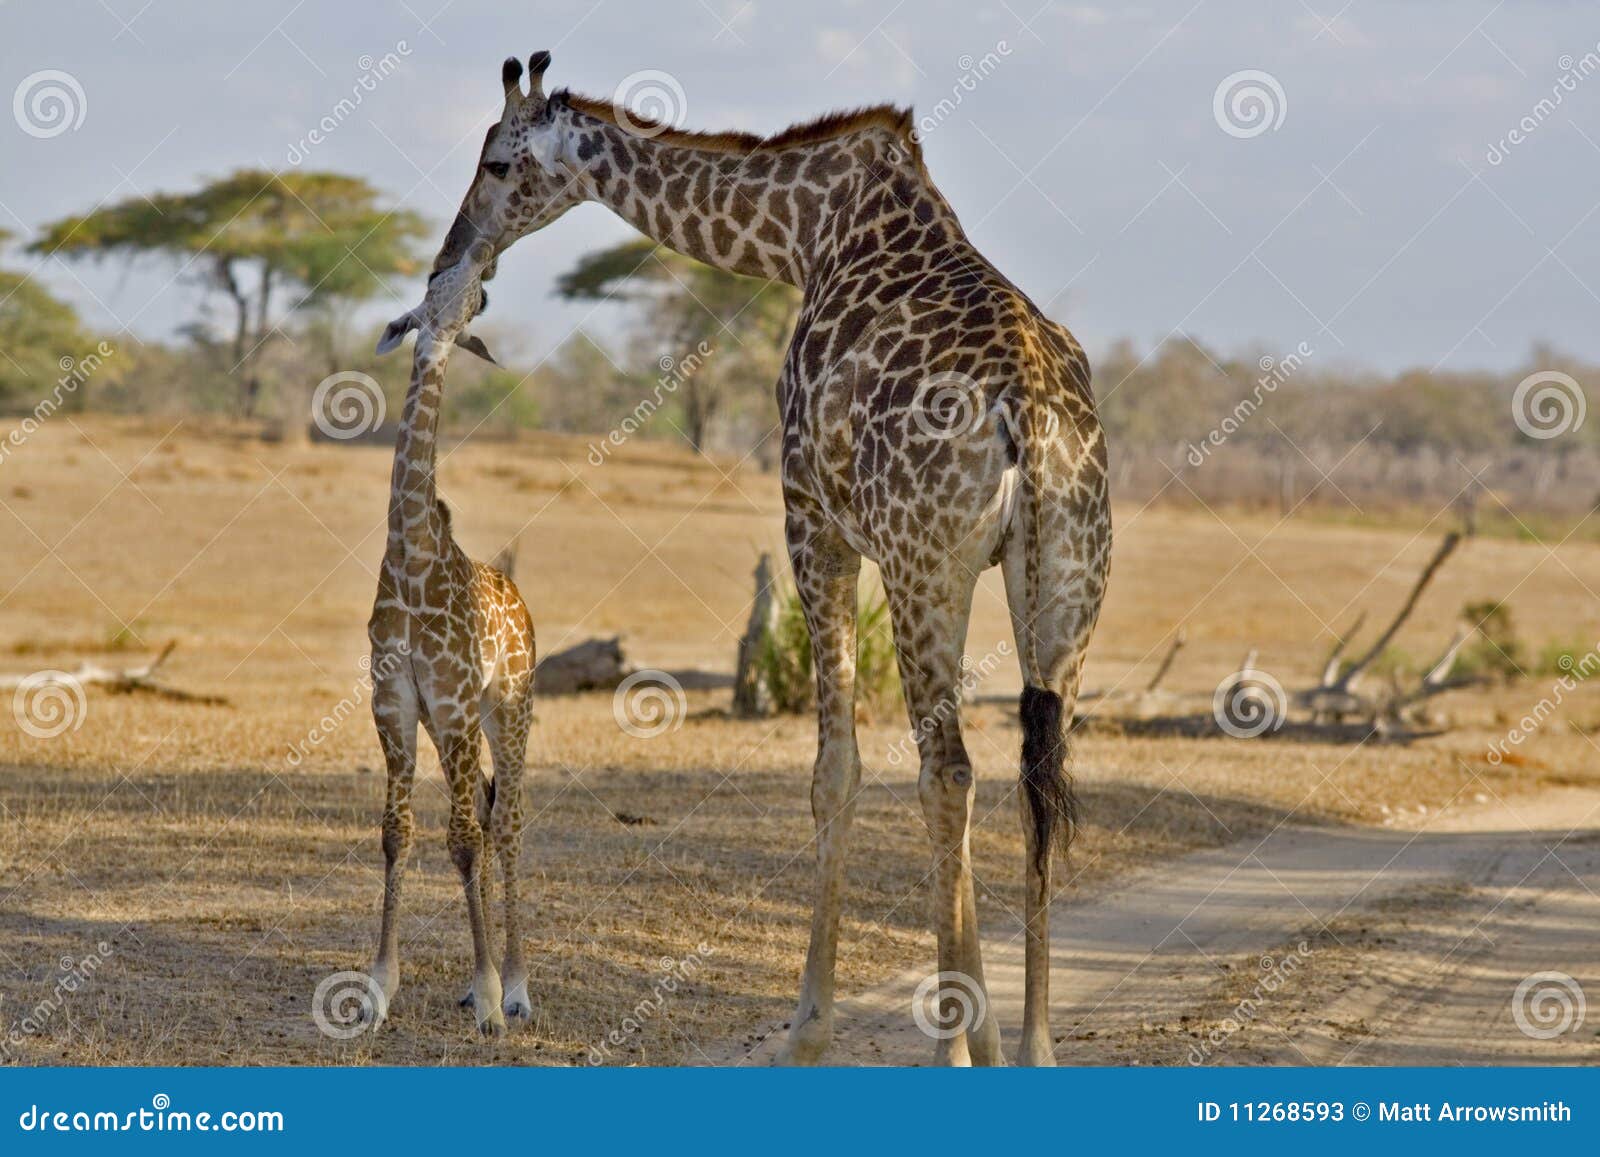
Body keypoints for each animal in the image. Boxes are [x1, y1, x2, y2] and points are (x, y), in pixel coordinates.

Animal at [434, 53, 1111, 1064]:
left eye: (499, 164)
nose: (453, 257)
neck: (803, 232)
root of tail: (1029, 416)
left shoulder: (813, 519)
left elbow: (835, 770)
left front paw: (808, 1028)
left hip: (925, 564)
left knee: (948, 770)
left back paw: (962, 1048)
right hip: (1066, 584)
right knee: (1036, 778)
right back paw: (1032, 1048)